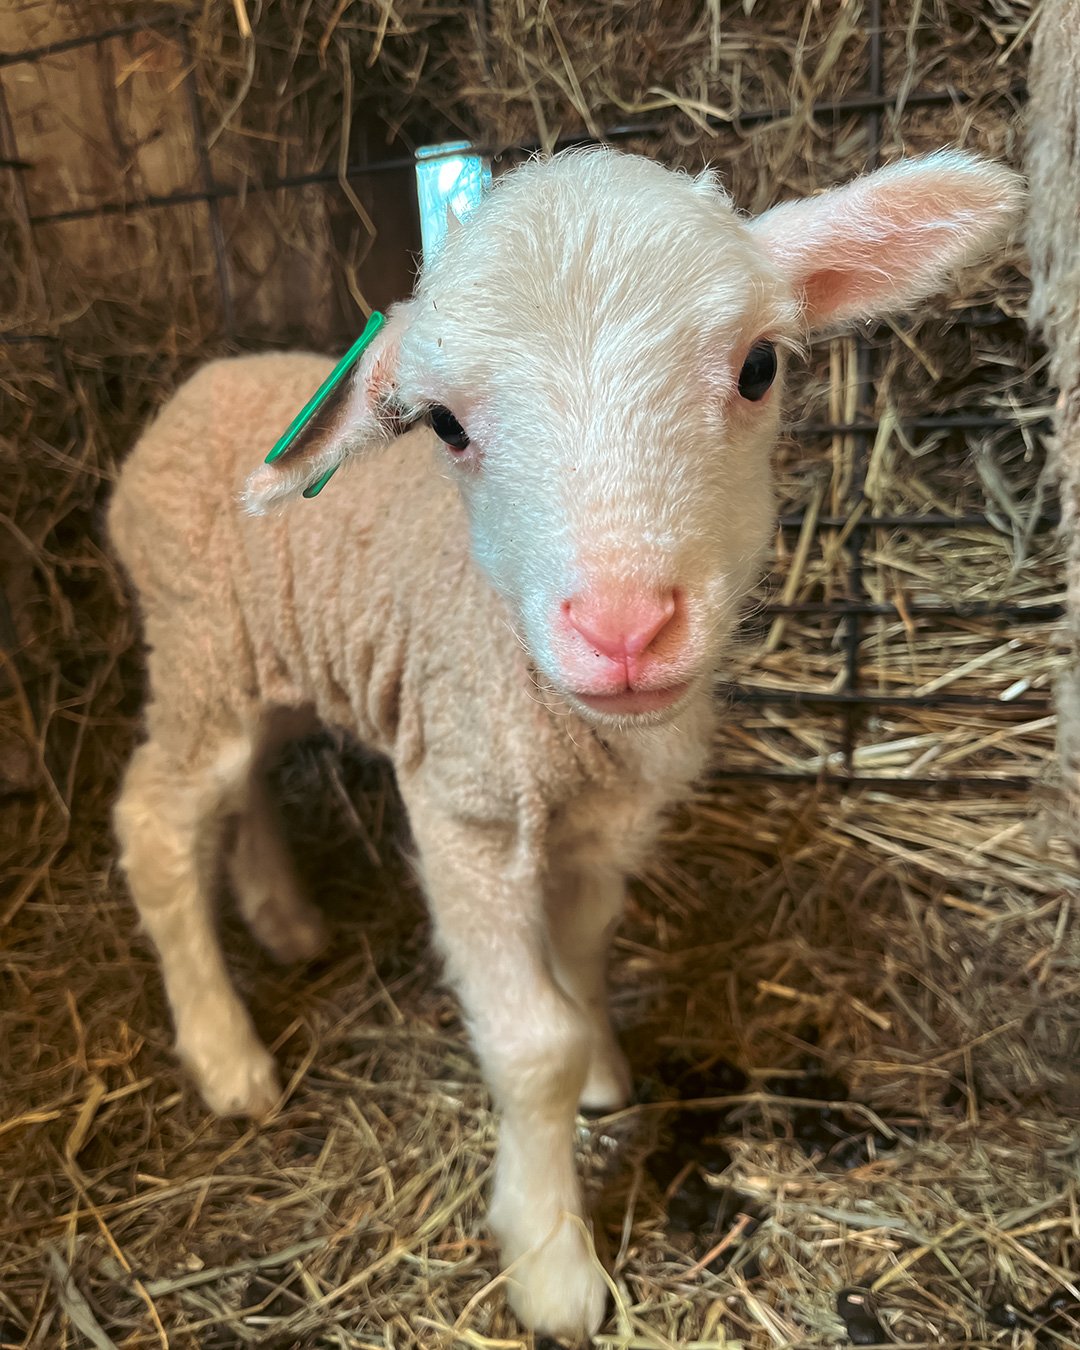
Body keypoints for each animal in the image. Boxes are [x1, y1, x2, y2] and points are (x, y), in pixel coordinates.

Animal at [109, 146, 1021, 1337]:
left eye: (759, 368)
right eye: (445, 425)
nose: (624, 627)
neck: (568, 722)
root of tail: (186, 396)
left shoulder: (607, 817)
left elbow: (585, 951)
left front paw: (602, 1073)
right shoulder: (465, 802)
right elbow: (531, 1043)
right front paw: (554, 1263)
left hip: (266, 662)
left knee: (245, 786)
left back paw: (285, 919)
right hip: (201, 648)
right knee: (157, 816)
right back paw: (225, 1054)